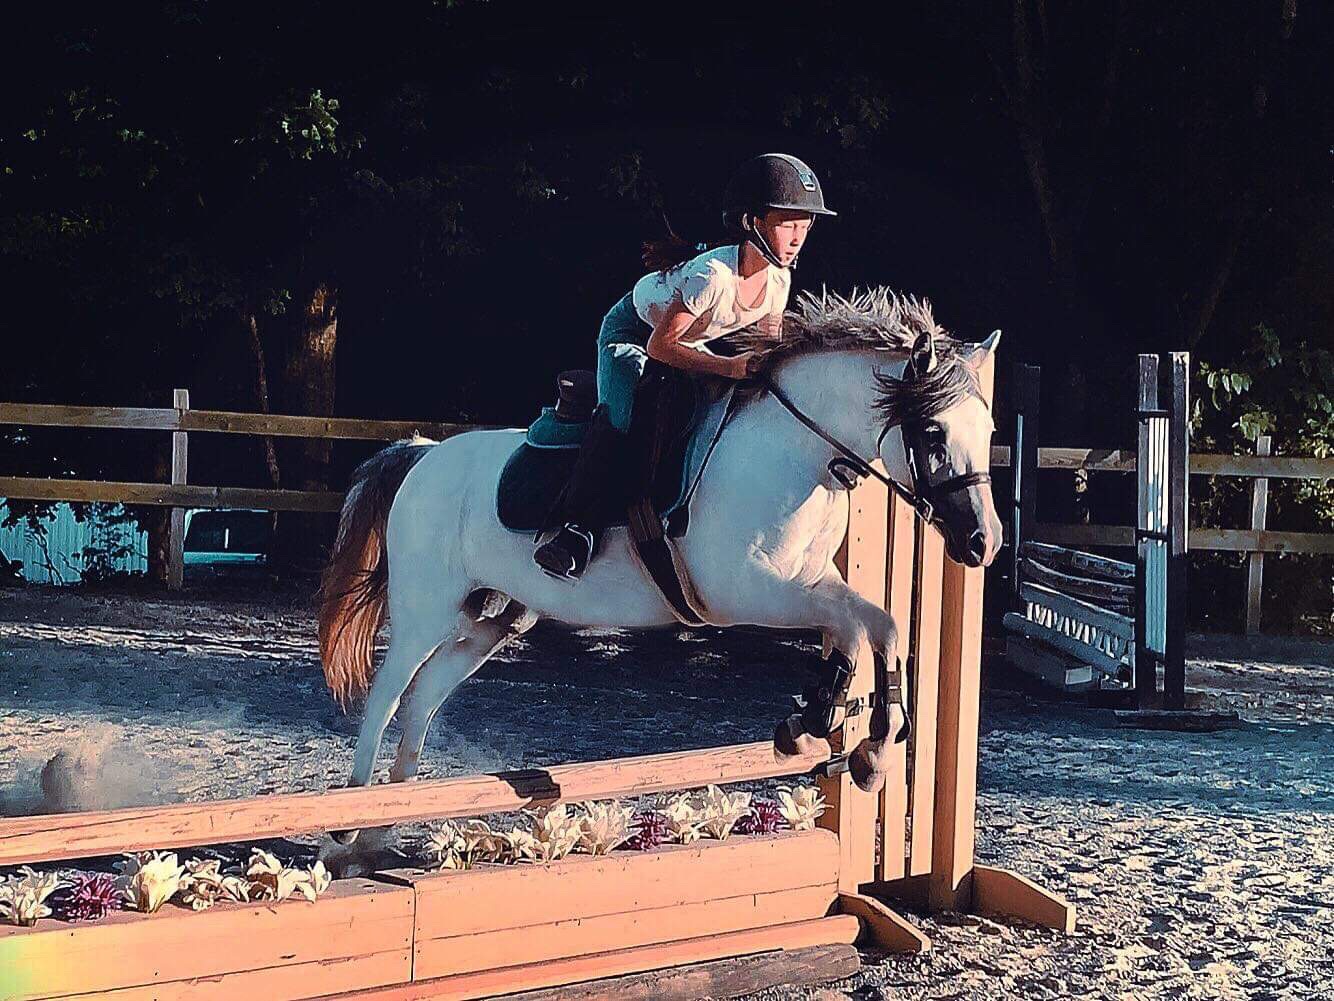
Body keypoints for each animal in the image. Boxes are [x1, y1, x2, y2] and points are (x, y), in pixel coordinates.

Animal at [318, 289, 1002, 845]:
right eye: (933, 434)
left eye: (989, 427)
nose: (982, 543)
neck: (799, 450)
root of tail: (421, 453)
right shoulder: (750, 591)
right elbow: (864, 627)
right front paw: (851, 740)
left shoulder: (813, 583)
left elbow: (873, 627)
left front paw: (830, 730)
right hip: (426, 611)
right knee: (387, 692)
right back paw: (346, 829)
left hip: (491, 619)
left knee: (423, 696)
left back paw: (385, 826)